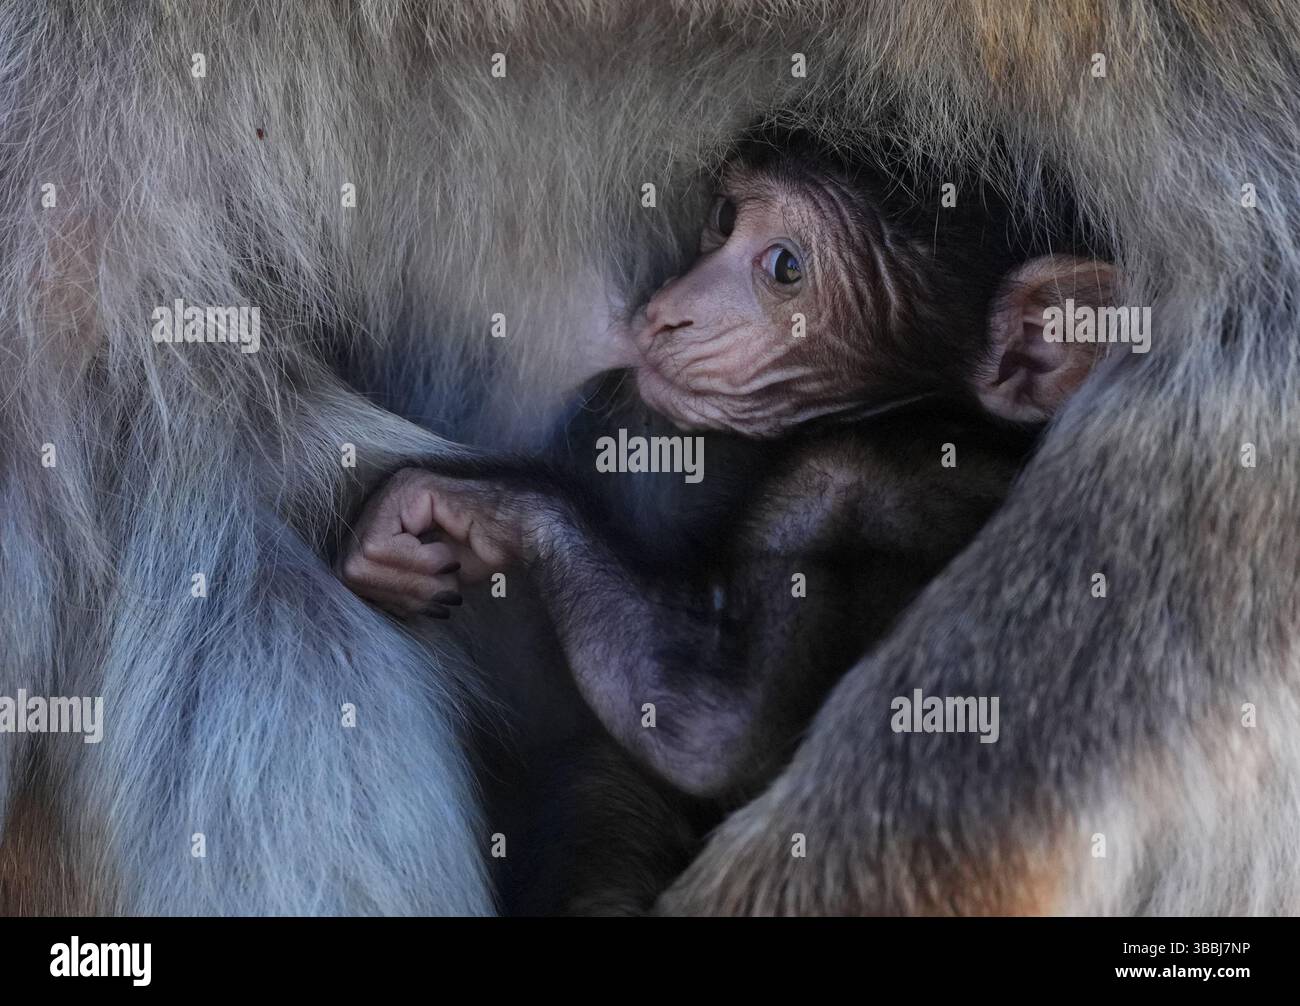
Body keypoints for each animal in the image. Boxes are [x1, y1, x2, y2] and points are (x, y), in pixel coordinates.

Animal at [4, 2, 1298, 919]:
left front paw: (491, 512)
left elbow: (712, 723)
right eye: (724, 221)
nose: (668, 313)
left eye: (785, 268)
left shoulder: (827, 489)